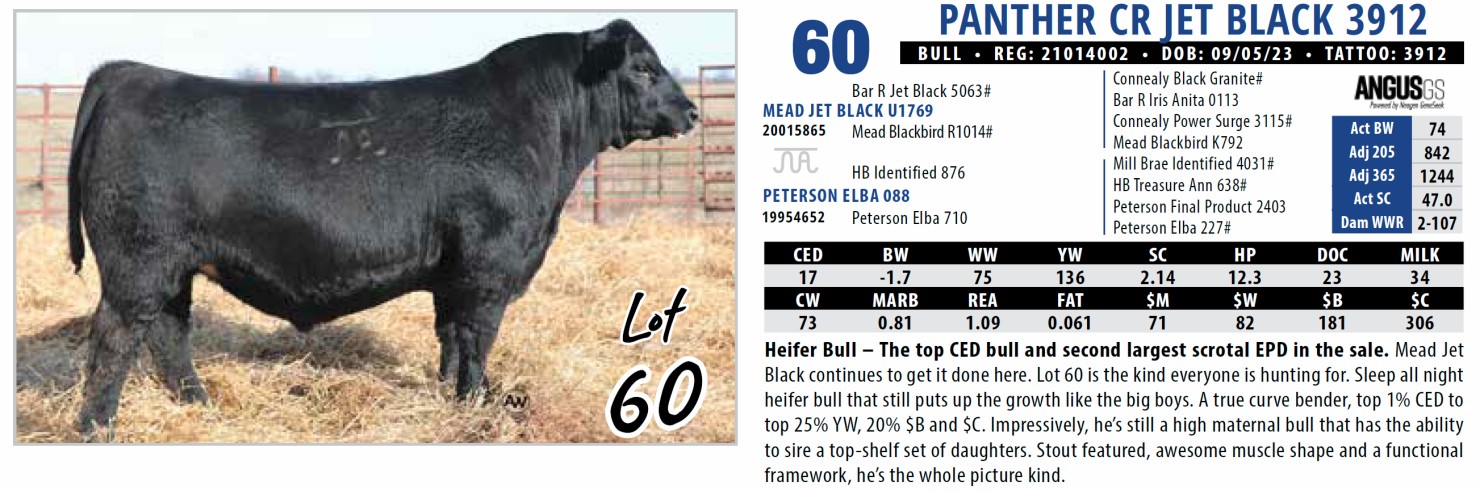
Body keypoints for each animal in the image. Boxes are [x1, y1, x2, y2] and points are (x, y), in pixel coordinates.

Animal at [65, 19, 698, 438]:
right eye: (643, 68)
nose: (691, 111)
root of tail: (129, 73)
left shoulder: (455, 274)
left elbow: (450, 337)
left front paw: (451, 396)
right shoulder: (489, 266)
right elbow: (477, 337)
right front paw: (480, 404)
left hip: (173, 268)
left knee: (169, 335)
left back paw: (200, 407)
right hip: (138, 262)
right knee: (116, 337)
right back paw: (97, 427)